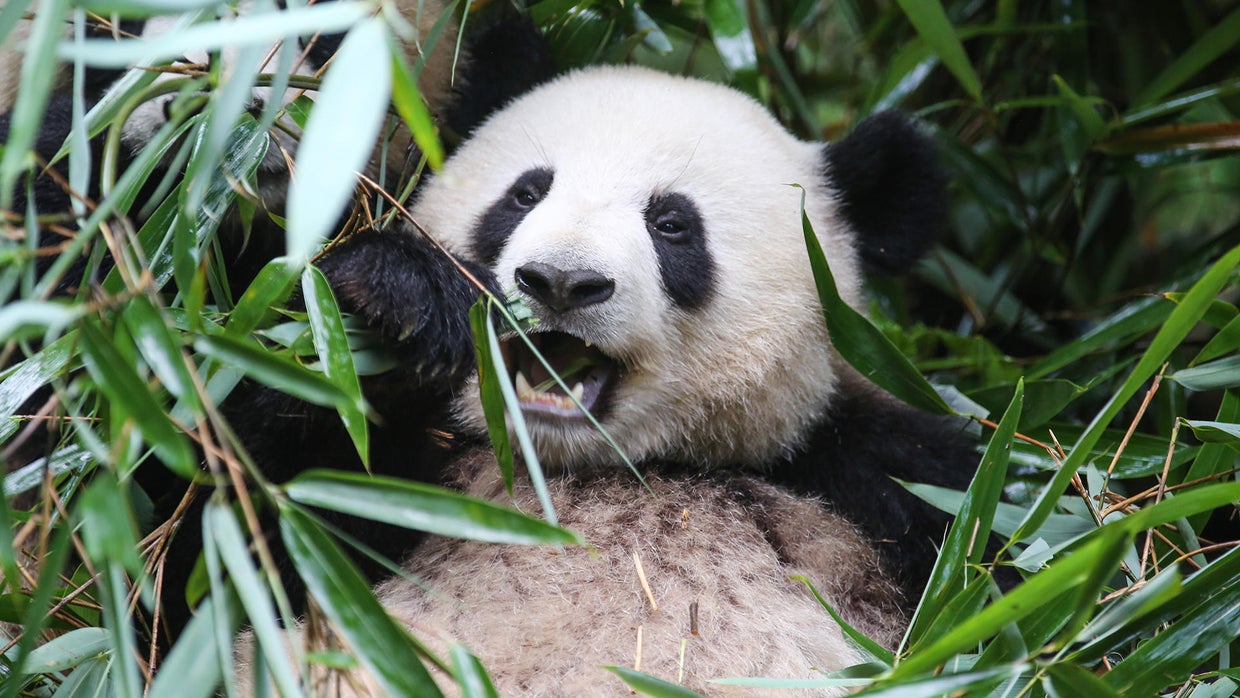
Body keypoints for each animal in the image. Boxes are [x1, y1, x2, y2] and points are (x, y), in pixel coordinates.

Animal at [232, 65, 984, 696]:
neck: (579, 465)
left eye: (673, 223)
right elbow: (258, 515)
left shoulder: (891, 492)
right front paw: (398, 297)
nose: (560, 281)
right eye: (525, 194)